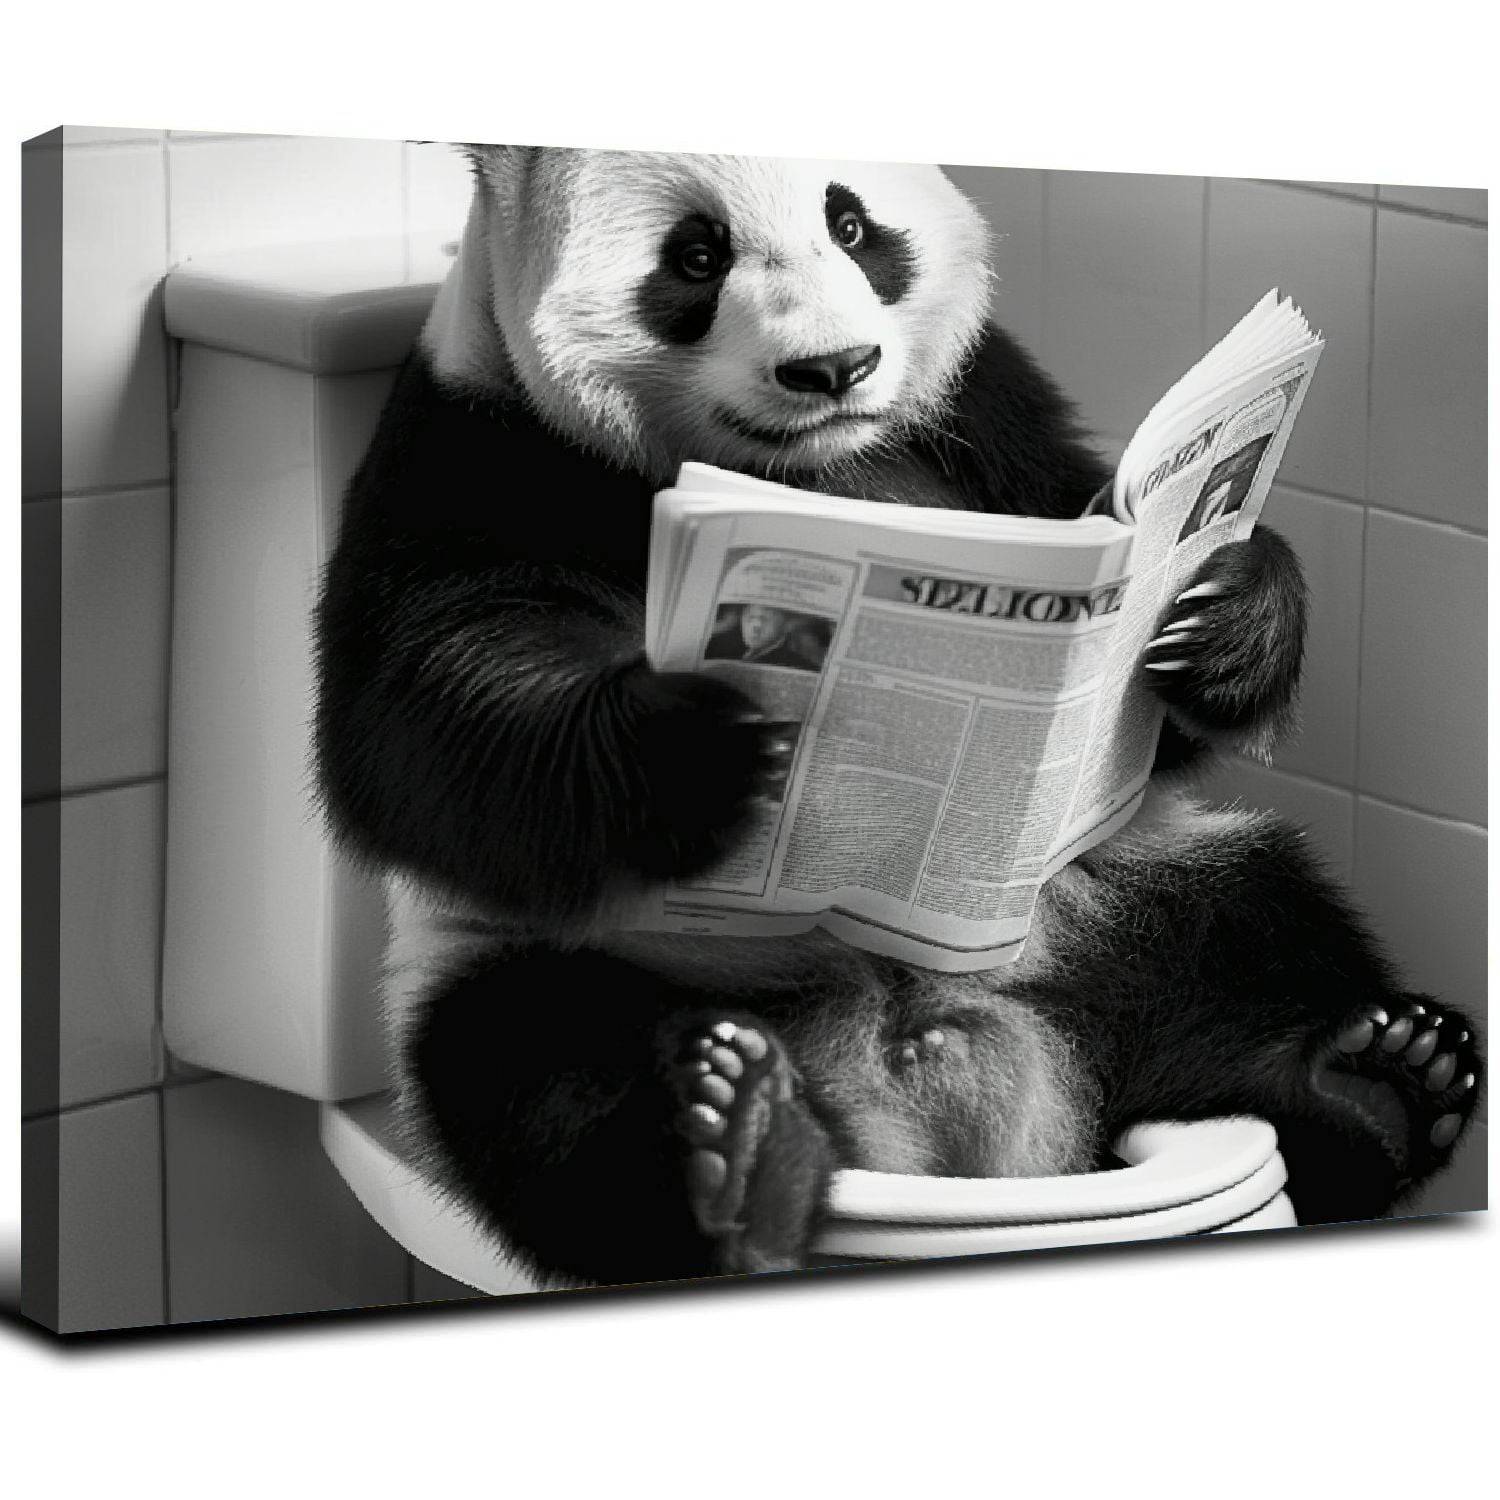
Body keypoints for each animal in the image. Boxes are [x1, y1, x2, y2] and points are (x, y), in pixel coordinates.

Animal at [314, 145, 1482, 1288]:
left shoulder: (986, 417)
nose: (834, 368)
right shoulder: (477, 449)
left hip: (1132, 902)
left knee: (1259, 943)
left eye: (853, 225)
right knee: (545, 1080)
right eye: (695, 256)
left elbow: (1140, 706)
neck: (803, 470)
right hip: (567, 962)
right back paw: (736, 1151)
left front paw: (1223, 614)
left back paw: (1376, 1085)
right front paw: (709, 746)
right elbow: (427, 741)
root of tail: (921, 1083)